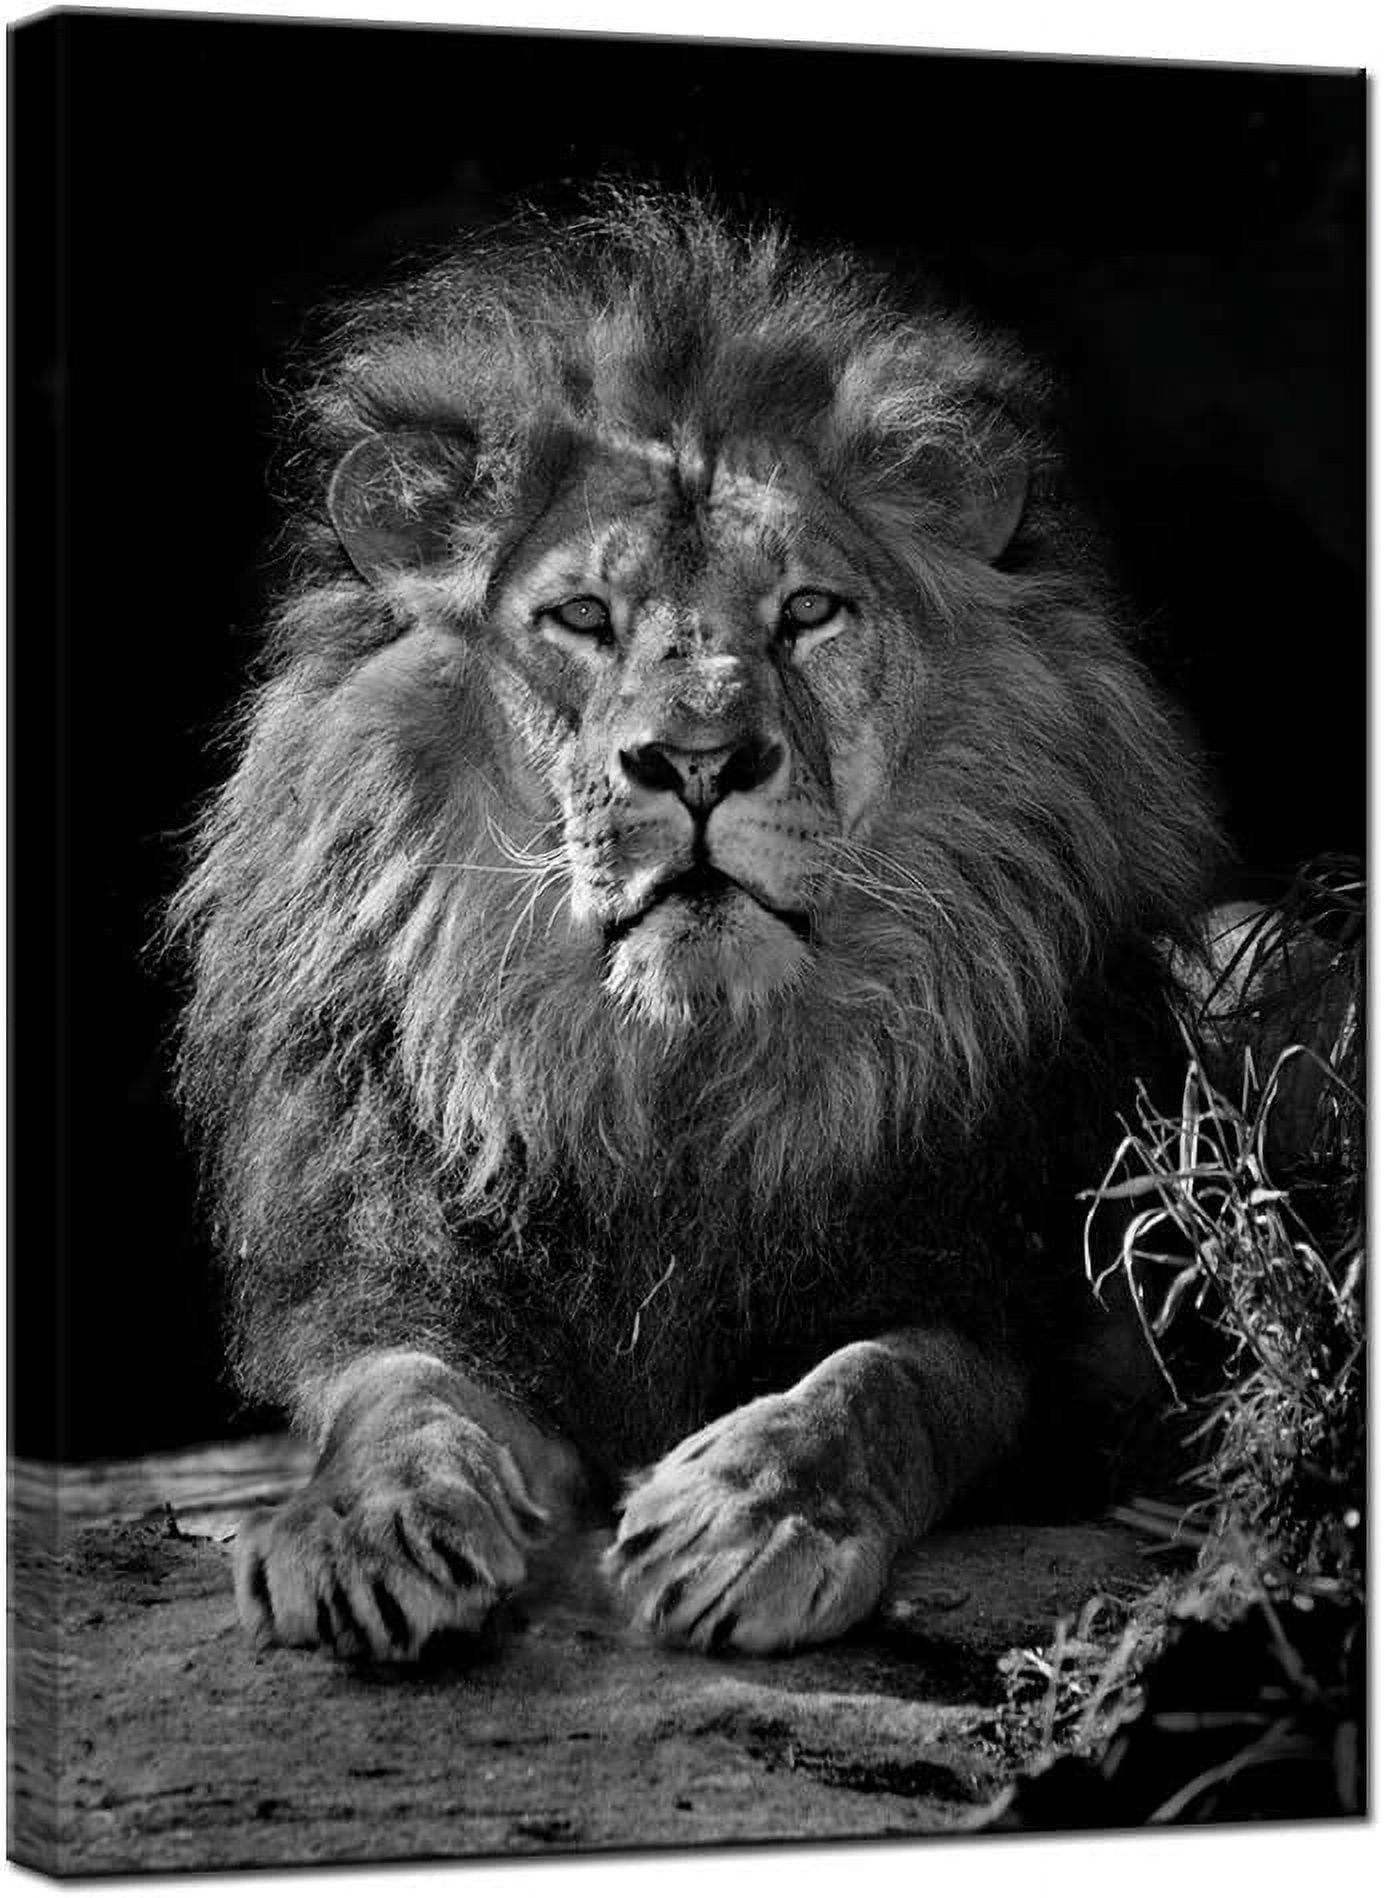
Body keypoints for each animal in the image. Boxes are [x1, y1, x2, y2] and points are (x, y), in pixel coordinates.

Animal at [172, 194, 1217, 1663]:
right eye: (581, 617)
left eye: (808, 611)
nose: (702, 758)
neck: (672, 1075)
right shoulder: (395, 1273)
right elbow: (398, 1390)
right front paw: (369, 1525)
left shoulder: (1021, 1316)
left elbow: (889, 1379)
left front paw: (752, 1512)